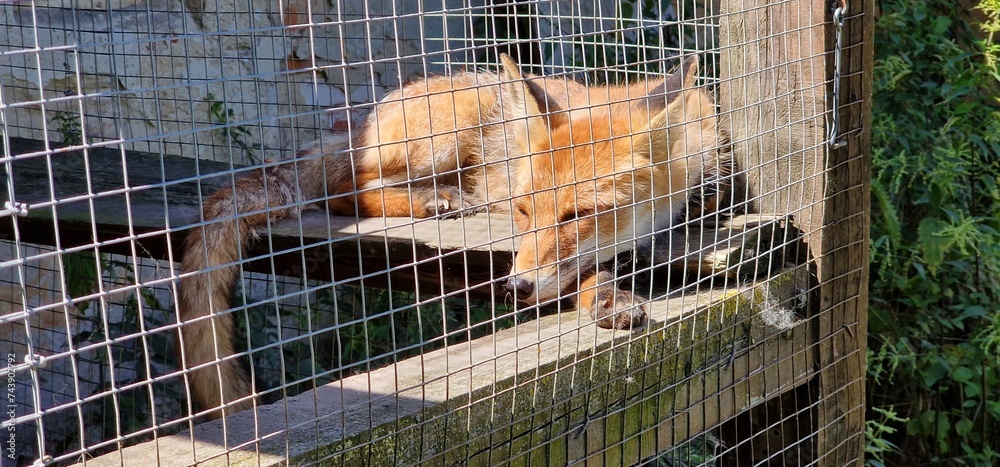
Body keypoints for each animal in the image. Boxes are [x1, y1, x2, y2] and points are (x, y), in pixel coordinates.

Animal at [176, 54, 727, 417]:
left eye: (578, 215)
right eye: (524, 210)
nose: (516, 287)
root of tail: (357, 125)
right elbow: (580, 275)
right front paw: (607, 297)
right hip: (442, 133)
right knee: (346, 188)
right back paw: (434, 200)